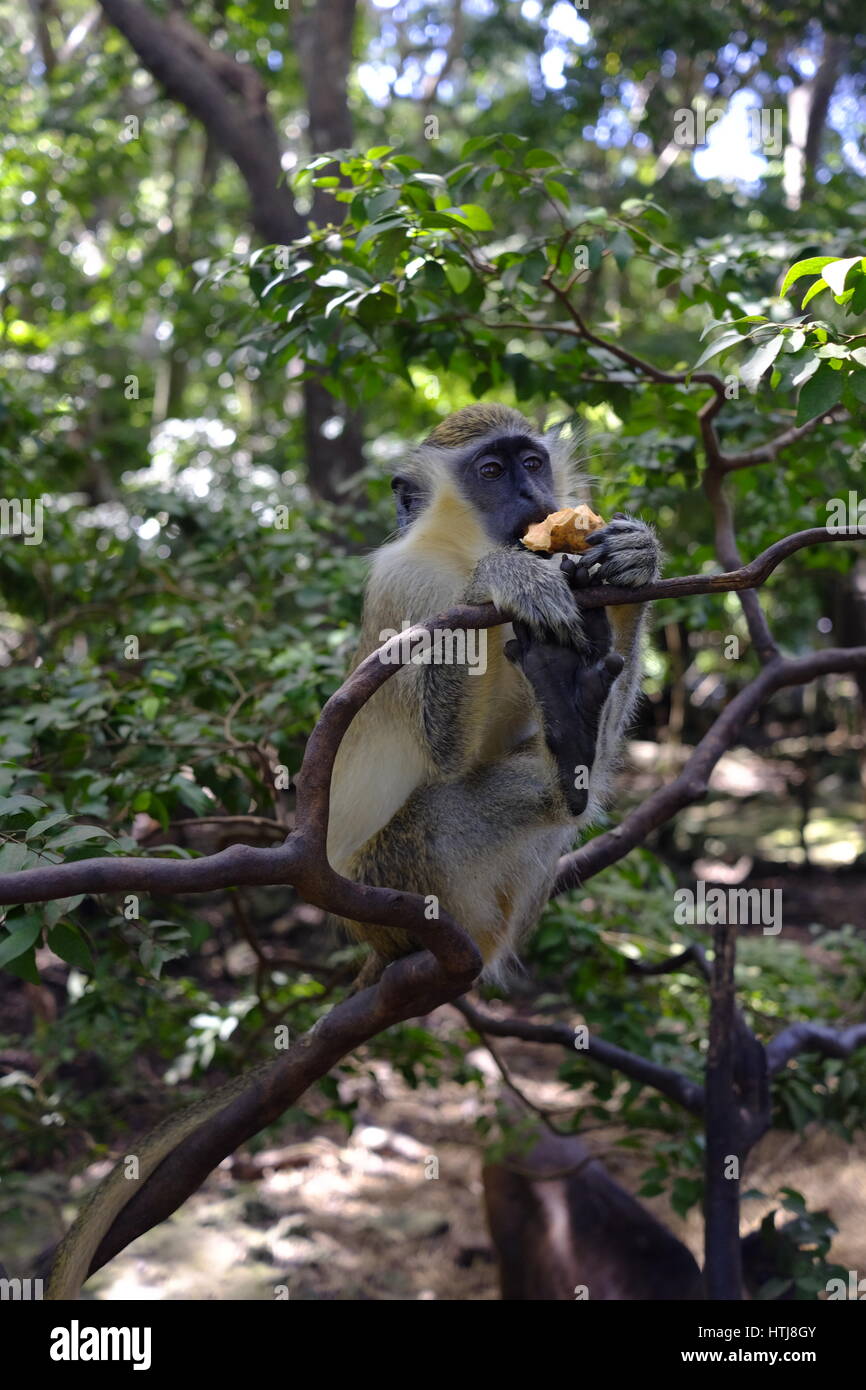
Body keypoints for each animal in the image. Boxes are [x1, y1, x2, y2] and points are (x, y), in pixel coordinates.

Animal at [326, 403, 661, 984]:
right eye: (491, 472)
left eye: (531, 463)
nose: (532, 495)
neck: (464, 551)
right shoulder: (410, 584)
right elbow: (445, 756)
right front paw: (502, 576)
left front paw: (635, 558)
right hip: (397, 882)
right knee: (444, 810)